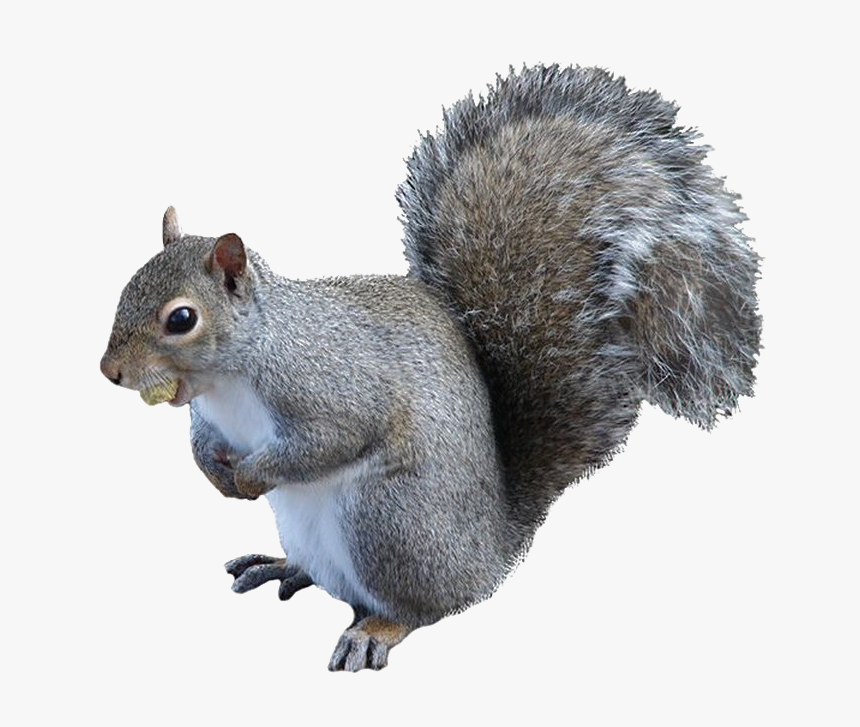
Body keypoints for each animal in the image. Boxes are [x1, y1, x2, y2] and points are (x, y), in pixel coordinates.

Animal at [100, 65, 761, 672]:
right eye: (127, 287)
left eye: (181, 318)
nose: (110, 371)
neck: (234, 373)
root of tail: (492, 551)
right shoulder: (211, 415)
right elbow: (202, 442)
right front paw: (215, 473)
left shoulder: (328, 385)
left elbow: (331, 439)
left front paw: (251, 474)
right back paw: (283, 567)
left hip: (387, 520)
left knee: (421, 608)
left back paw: (376, 628)